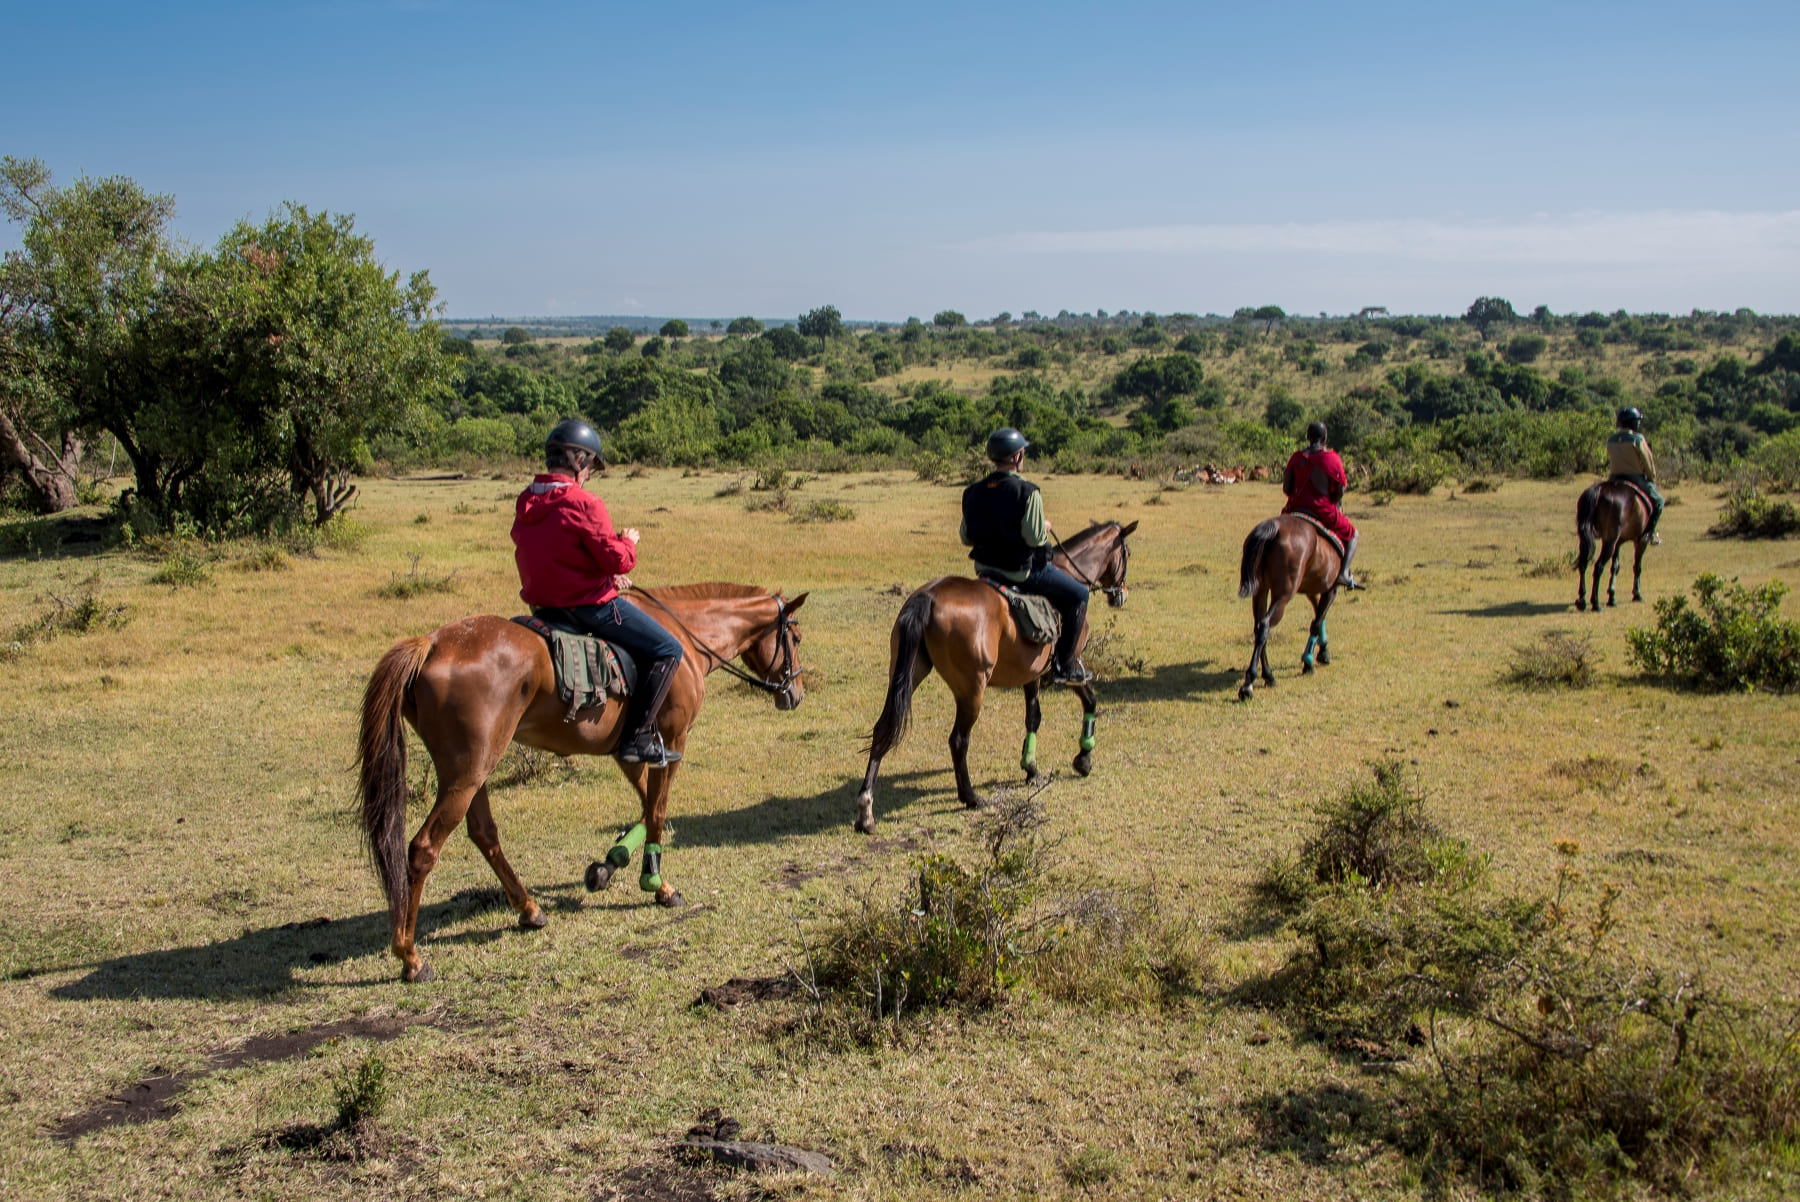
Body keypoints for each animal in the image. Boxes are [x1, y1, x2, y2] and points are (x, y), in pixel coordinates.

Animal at [356, 583, 807, 982]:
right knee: (423, 848)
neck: (685, 637)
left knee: (484, 833)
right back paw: (410, 957)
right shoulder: (671, 742)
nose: (796, 693)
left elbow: (646, 808)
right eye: (796, 637)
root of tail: (432, 643)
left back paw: (529, 910)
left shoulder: (629, 753)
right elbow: (658, 811)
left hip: (473, 771)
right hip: (466, 774)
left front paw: (608, 865)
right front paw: (657, 885)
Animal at [853, 520, 1137, 834]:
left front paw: (1031, 769)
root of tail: (929, 596)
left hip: (907, 674)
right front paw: (1083, 759)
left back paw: (866, 811)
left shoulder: (1032, 675)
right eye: (1128, 554)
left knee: (883, 728)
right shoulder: (1069, 665)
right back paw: (970, 797)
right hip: (972, 690)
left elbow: (1033, 718)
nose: (1121, 593)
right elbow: (1090, 702)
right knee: (958, 740)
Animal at [1236, 515, 1344, 702]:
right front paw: (1309, 663)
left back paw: (1268, 675)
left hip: (1261, 590)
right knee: (1265, 626)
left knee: (1258, 627)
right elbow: (1317, 622)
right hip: (1283, 594)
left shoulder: (1312, 591)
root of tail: (1273, 527)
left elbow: (1318, 618)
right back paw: (1248, 685)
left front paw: (1323, 652)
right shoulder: (1332, 590)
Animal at [1576, 479, 1652, 610]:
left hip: (1586, 540)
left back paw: (1582, 600)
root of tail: (1599, 489)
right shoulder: (1640, 541)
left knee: (1583, 564)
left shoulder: (1618, 543)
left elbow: (1615, 567)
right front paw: (1637, 594)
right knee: (1599, 566)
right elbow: (1637, 567)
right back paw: (1595, 603)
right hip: (1610, 542)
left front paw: (1612, 597)